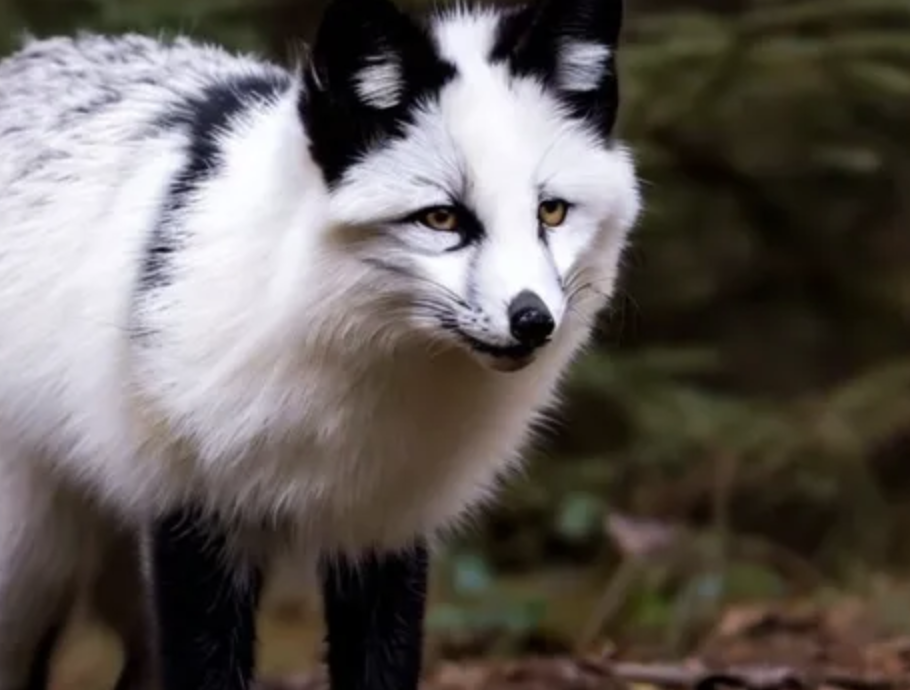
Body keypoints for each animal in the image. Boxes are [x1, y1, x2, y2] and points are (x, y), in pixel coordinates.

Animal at [0, 0, 640, 687]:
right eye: (441, 218)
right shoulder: (192, 517)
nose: (533, 320)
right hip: (34, 561)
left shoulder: (382, 528)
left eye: (551, 212)